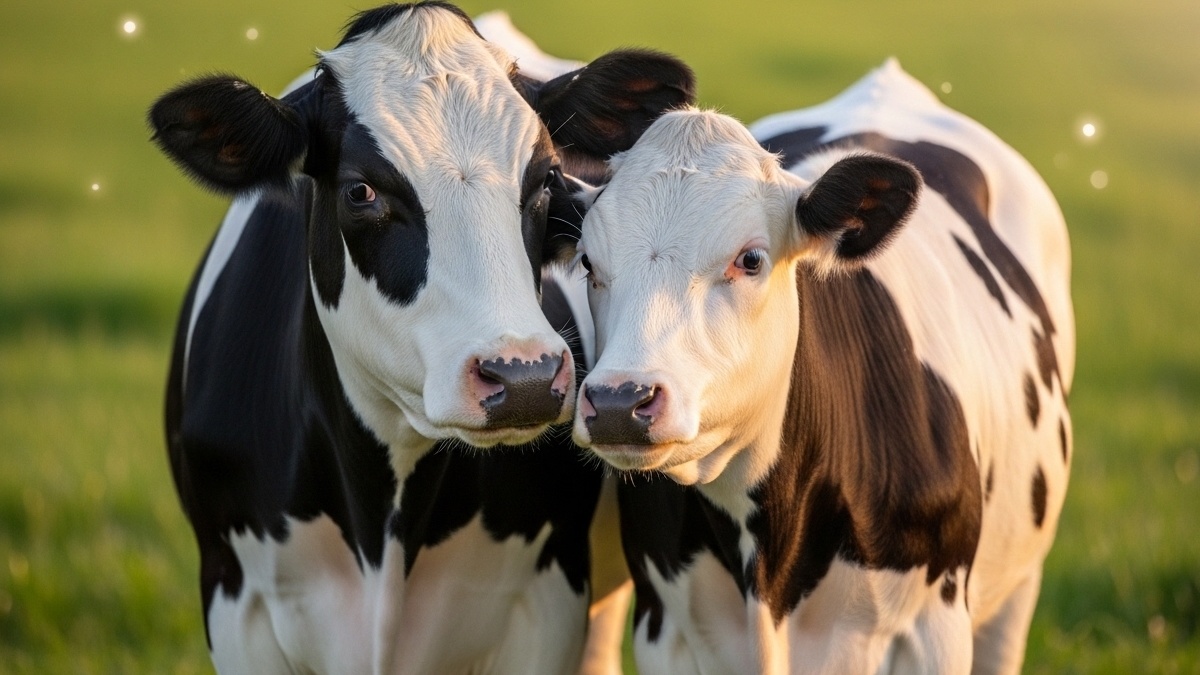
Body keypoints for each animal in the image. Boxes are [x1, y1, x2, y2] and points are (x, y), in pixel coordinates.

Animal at [568, 59, 1074, 674]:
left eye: (750, 259)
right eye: (588, 261)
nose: (620, 401)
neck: (769, 565)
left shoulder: (935, 627)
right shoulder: (666, 626)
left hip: (1019, 581)